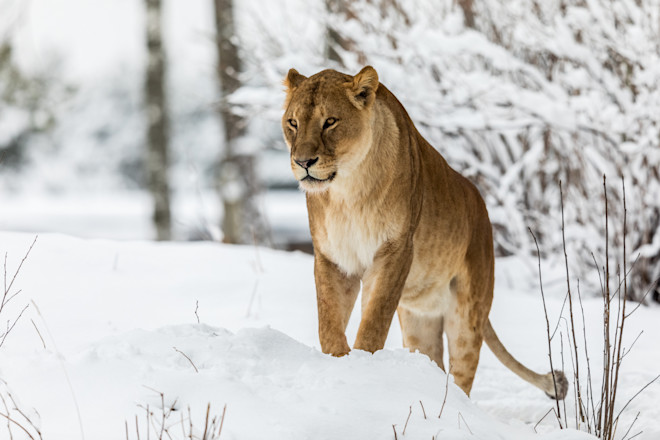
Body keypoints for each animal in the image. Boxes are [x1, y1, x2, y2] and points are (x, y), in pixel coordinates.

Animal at [281, 65, 568, 399]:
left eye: (330, 121)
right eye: (293, 123)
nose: (303, 162)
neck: (347, 192)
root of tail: (481, 206)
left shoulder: (395, 251)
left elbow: (374, 320)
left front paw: (361, 370)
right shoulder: (332, 257)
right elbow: (328, 320)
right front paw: (339, 364)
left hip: (467, 314)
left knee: (461, 375)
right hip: (420, 320)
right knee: (432, 360)